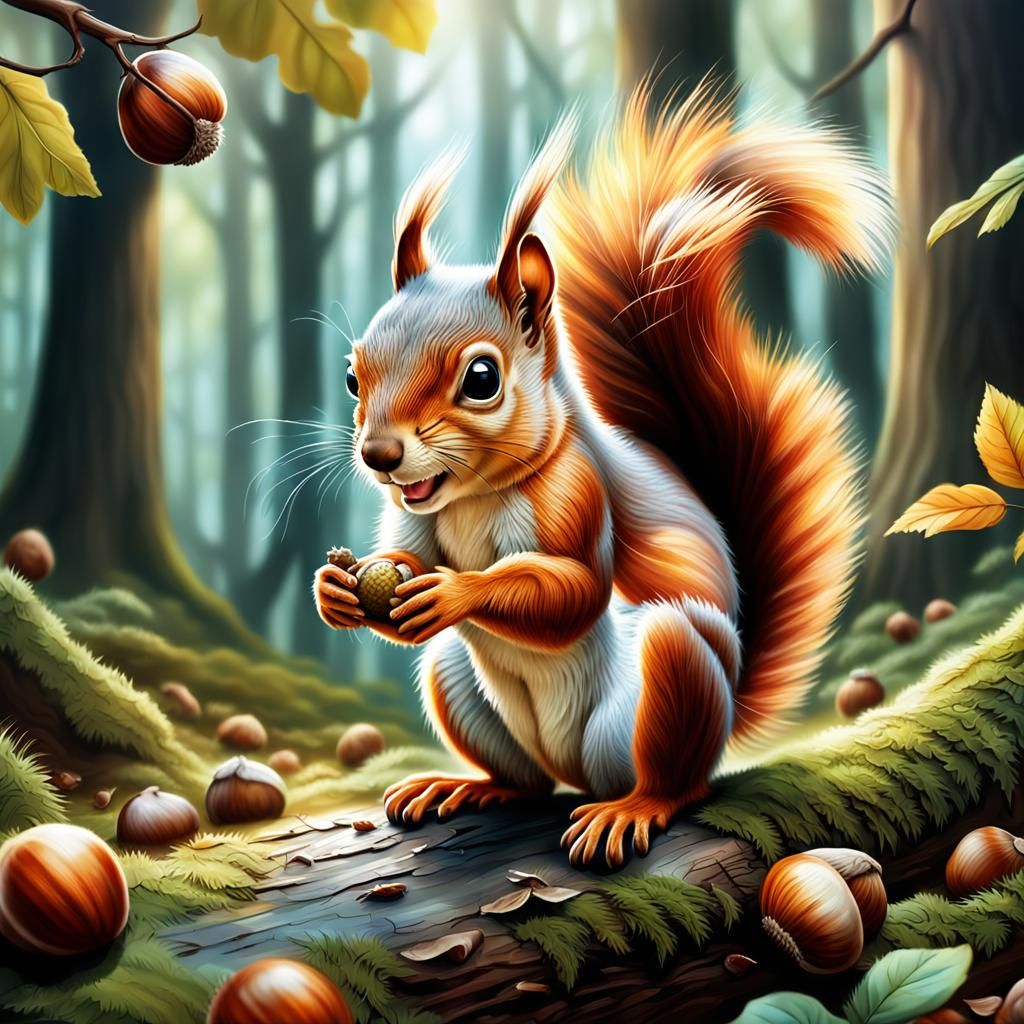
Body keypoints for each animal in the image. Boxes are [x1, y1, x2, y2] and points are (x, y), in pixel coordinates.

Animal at [314, 83, 891, 868]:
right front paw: (337, 589)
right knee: (523, 782)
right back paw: (465, 785)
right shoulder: (414, 517)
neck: (476, 497)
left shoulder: (578, 496)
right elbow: (401, 561)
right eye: (353, 375)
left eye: (482, 379)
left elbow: (574, 592)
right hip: (455, 678)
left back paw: (634, 807)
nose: (378, 455)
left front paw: (458, 591)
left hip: (672, 678)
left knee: (678, 780)